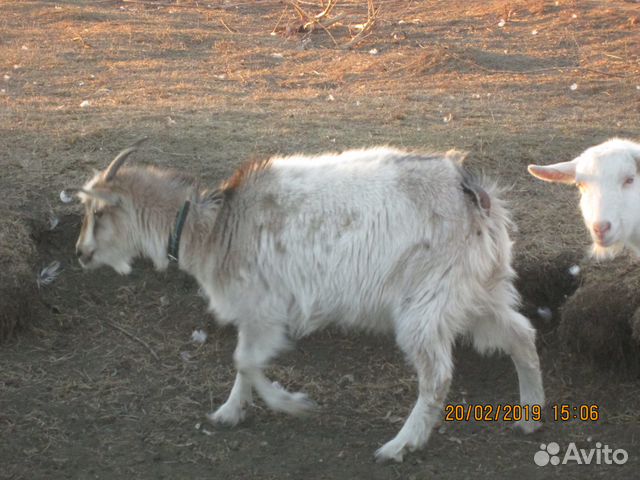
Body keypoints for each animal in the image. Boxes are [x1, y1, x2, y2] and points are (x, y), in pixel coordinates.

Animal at [68, 143, 544, 462]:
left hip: (425, 303)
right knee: (521, 335)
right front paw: (230, 412)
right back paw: (530, 415)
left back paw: (399, 445)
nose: (80, 254)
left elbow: (245, 362)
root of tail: (472, 192)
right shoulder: (253, 311)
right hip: (477, 292)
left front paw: (291, 404)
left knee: (438, 375)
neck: (216, 227)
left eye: (98, 213)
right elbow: (242, 363)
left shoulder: (264, 308)